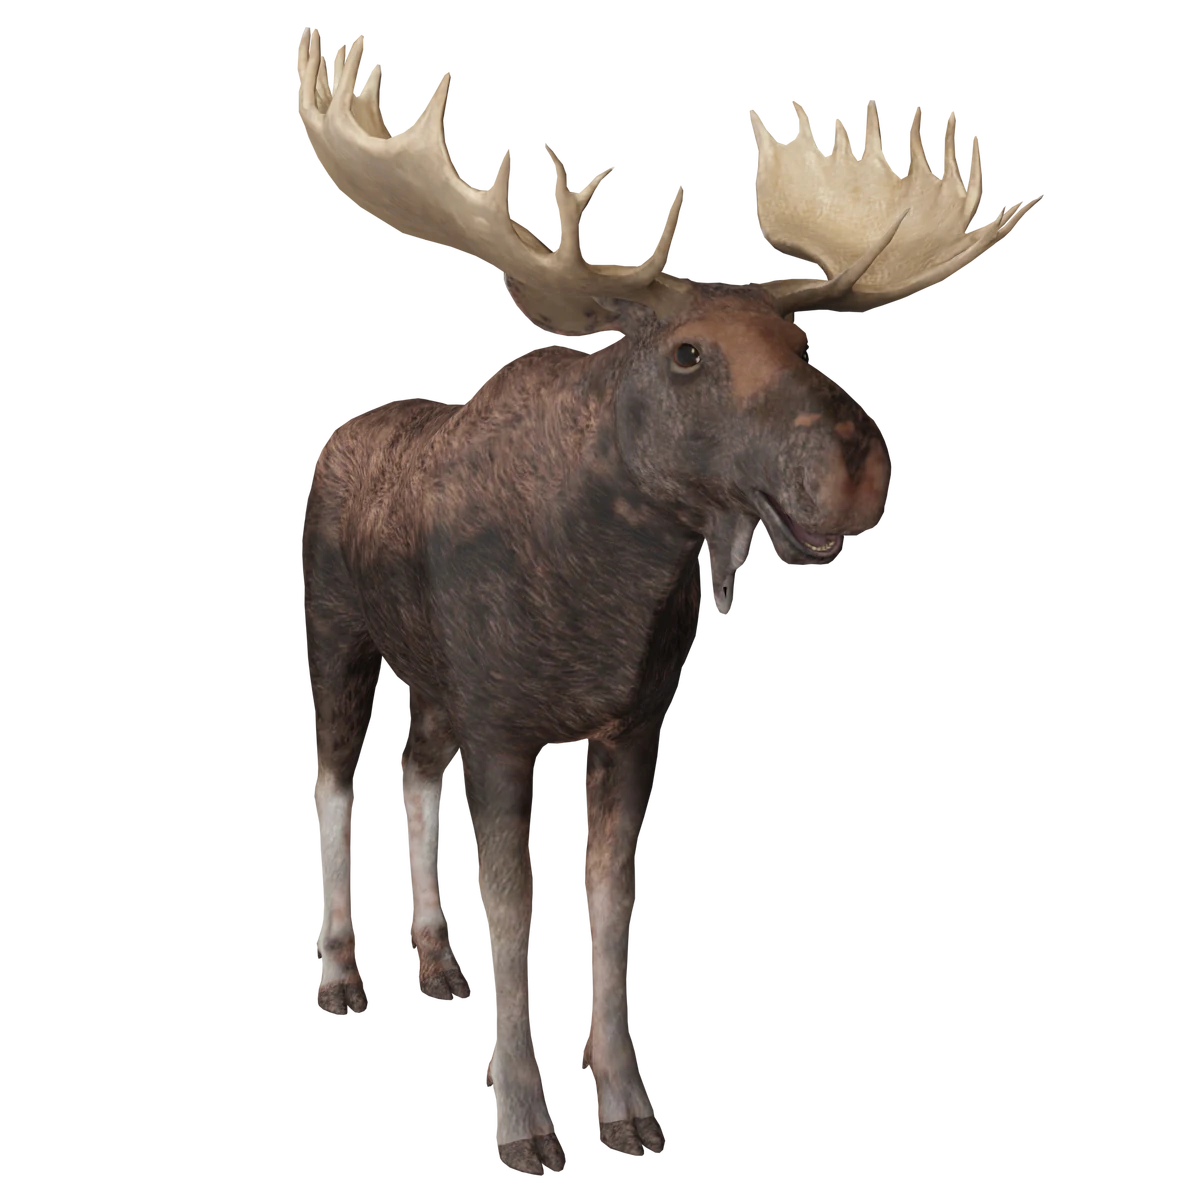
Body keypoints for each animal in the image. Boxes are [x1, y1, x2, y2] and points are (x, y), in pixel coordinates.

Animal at [297, 29, 1043, 1176]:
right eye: (688, 353)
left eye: (807, 347)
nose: (856, 463)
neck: (607, 589)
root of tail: (344, 432)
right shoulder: (504, 728)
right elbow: (520, 921)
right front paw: (524, 1126)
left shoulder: (633, 730)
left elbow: (609, 917)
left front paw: (628, 1111)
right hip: (340, 636)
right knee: (337, 774)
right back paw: (342, 978)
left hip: (433, 682)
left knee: (413, 765)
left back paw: (437, 964)